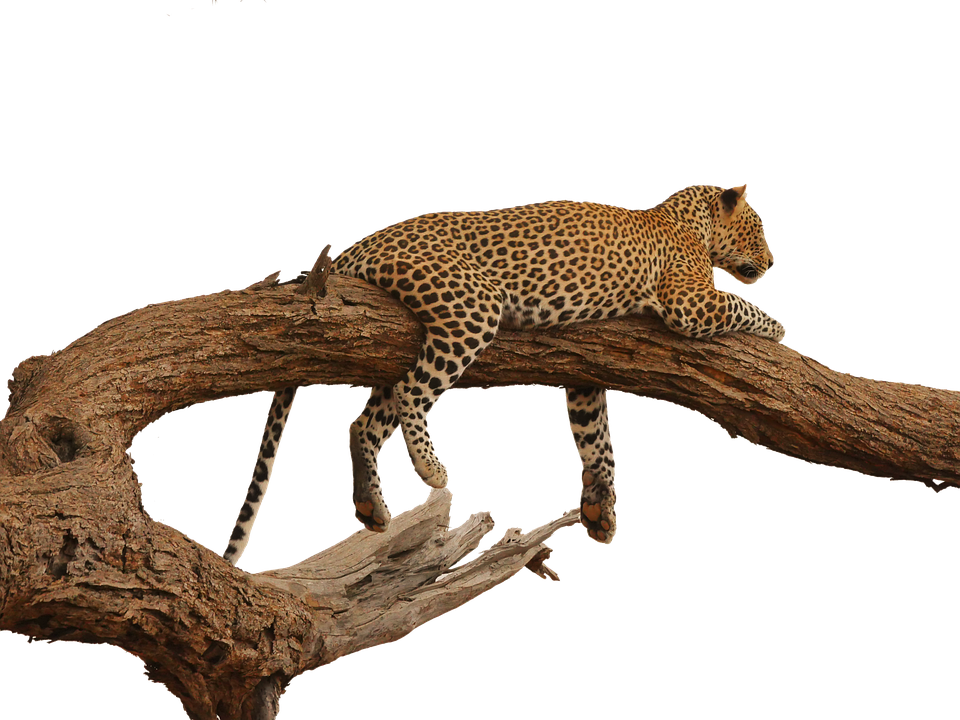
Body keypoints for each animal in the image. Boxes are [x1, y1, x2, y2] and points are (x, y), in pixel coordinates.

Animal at [222, 183, 785, 566]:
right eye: (759, 229)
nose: (774, 259)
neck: (688, 222)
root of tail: (360, 243)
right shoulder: (691, 300)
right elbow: (740, 303)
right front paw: (777, 327)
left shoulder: (586, 373)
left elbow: (598, 440)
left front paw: (600, 510)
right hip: (471, 305)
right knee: (412, 396)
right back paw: (432, 470)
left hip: (402, 347)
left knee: (364, 420)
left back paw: (371, 507)